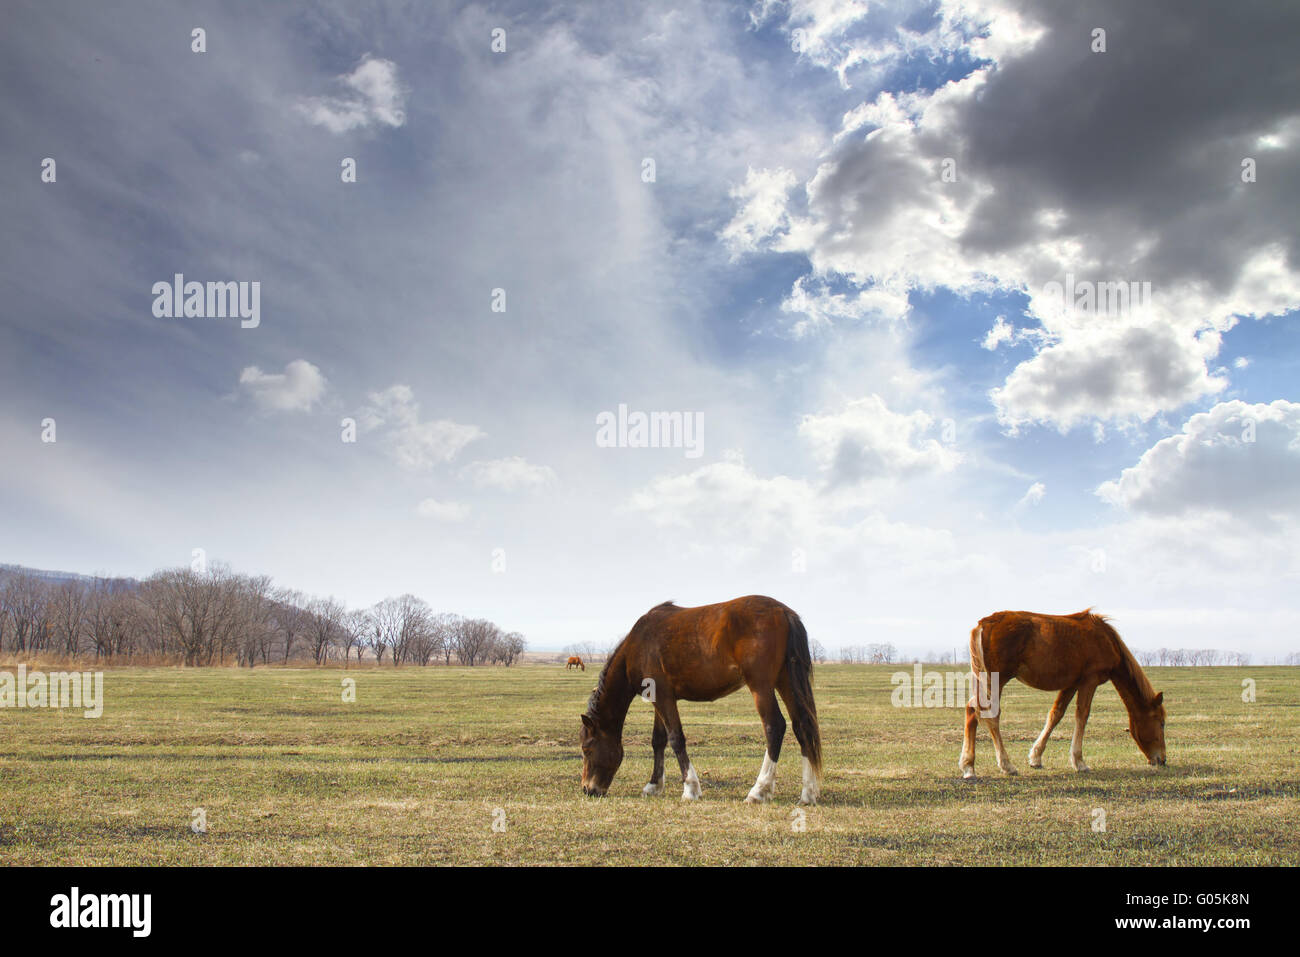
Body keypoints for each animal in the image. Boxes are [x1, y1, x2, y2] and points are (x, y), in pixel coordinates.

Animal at [579, 595, 822, 804]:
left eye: (587, 749)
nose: (587, 789)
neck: (637, 646)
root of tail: (784, 612)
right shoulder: (659, 698)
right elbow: (658, 740)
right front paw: (654, 785)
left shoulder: (664, 698)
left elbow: (676, 738)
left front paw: (690, 788)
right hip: (786, 681)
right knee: (801, 726)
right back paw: (808, 793)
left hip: (760, 686)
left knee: (775, 727)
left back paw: (759, 790)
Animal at [959, 609, 1166, 779]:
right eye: (1161, 723)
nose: (1162, 759)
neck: (1105, 640)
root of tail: (983, 624)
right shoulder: (1089, 681)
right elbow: (1082, 715)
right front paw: (1079, 761)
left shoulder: (1071, 684)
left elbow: (1056, 714)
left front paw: (1036, 757)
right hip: (996, 680)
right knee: (990, 715)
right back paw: (1006, 765)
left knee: (972, 710)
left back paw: (969, 766)